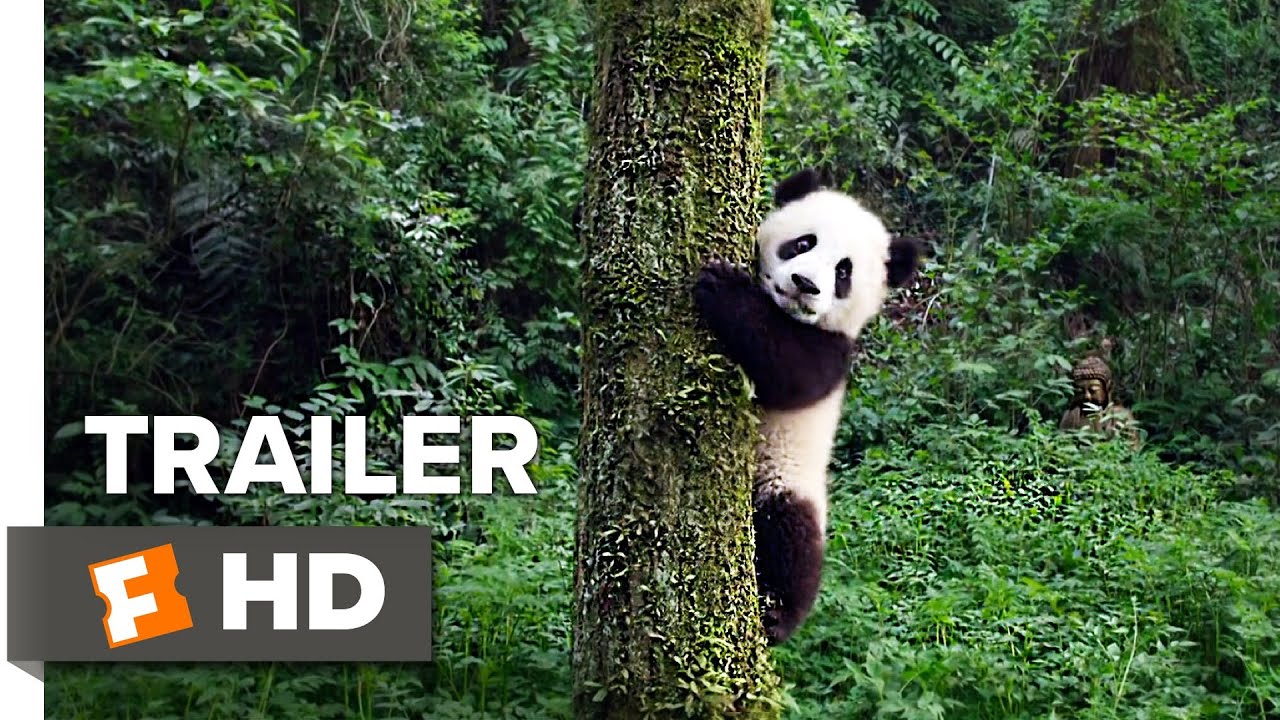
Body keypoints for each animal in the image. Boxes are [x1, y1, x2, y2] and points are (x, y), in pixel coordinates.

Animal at [692, 168, 921, 644]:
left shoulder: (832, 354)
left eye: (843, 272)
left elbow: (788, 371)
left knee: (790, 539)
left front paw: (724, 289)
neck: (786, 312)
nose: (805, 285)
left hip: (787, 480)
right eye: (803, 243)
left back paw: (777, 614)